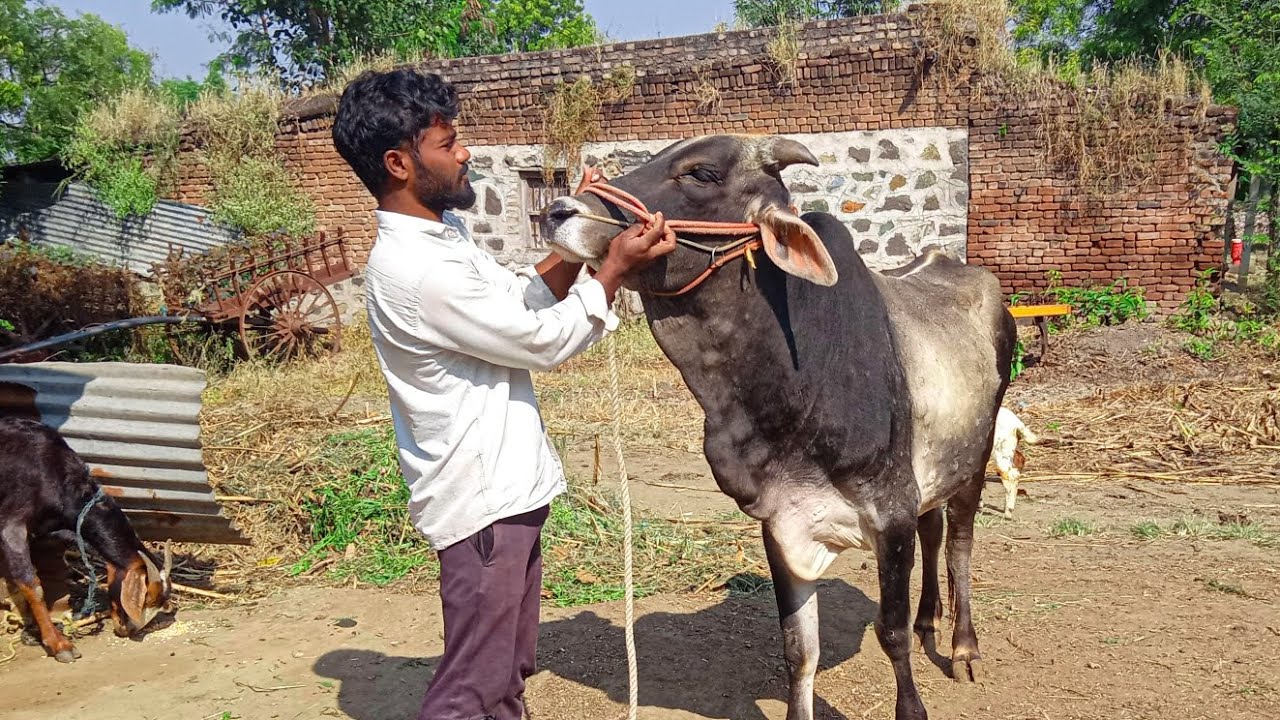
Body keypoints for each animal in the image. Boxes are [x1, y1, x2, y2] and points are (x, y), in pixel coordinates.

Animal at [541, 134, 1016, 720]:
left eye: (701, 173)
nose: (559, 211)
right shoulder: (781, 521)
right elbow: (799, 648)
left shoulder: (889, 513)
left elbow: (892, 633)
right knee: (935, 531)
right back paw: (931, 617)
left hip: (976, 457)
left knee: (959, 544)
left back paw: (963, 647)